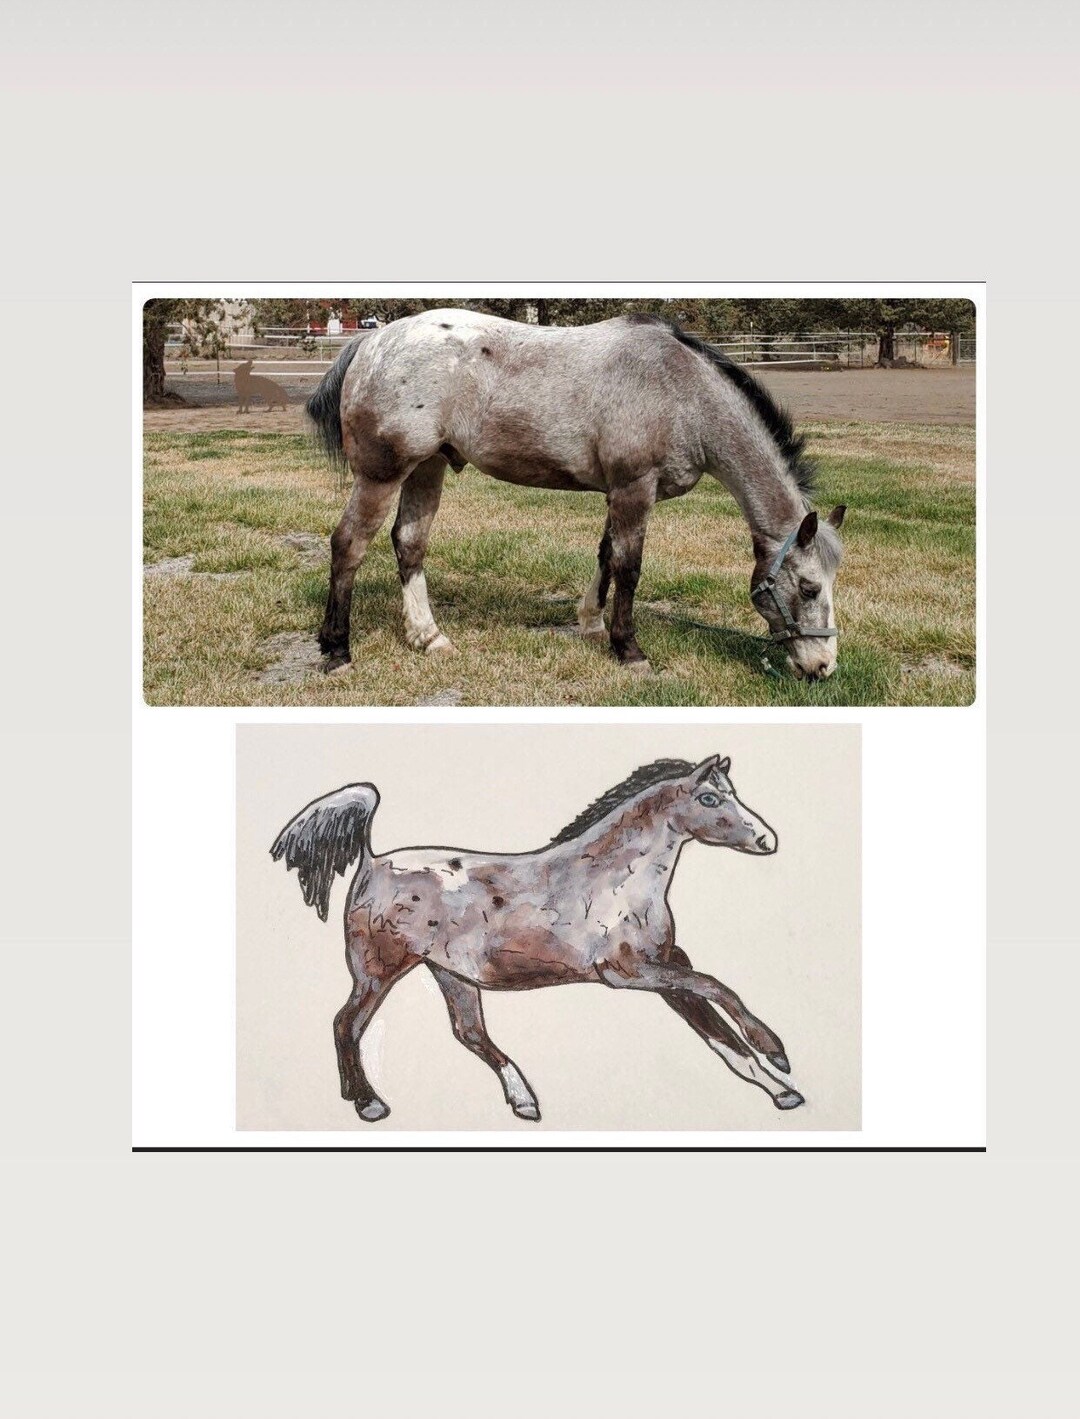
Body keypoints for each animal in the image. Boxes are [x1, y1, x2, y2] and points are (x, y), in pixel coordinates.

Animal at [270, 754, 805, 1124]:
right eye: (711, 798)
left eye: (733, 791)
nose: (768, 840)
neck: (617, 882)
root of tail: (372, 859)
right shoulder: (629, 973)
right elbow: (718, 987)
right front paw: (778, 1051)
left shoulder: (665, 966)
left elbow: (719, 1034)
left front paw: (784, 1090)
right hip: (379, 971)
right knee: (346, 1024)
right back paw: (368, 1104)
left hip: (450, 973)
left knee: (469, 1033)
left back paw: (525, 1101)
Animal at [305, 309, 846, 680]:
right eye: (808, 588)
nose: (823, 666)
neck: (682, 392)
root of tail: (372, 340)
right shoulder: (634, 489)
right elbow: (629, 567)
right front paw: (629, 650)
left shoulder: (621, 493)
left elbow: (606, 555)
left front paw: (590, 621)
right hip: (382, 476)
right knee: (349, 545)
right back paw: (337, 650)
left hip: (427, 468)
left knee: (409, 544)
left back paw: (428, 637)